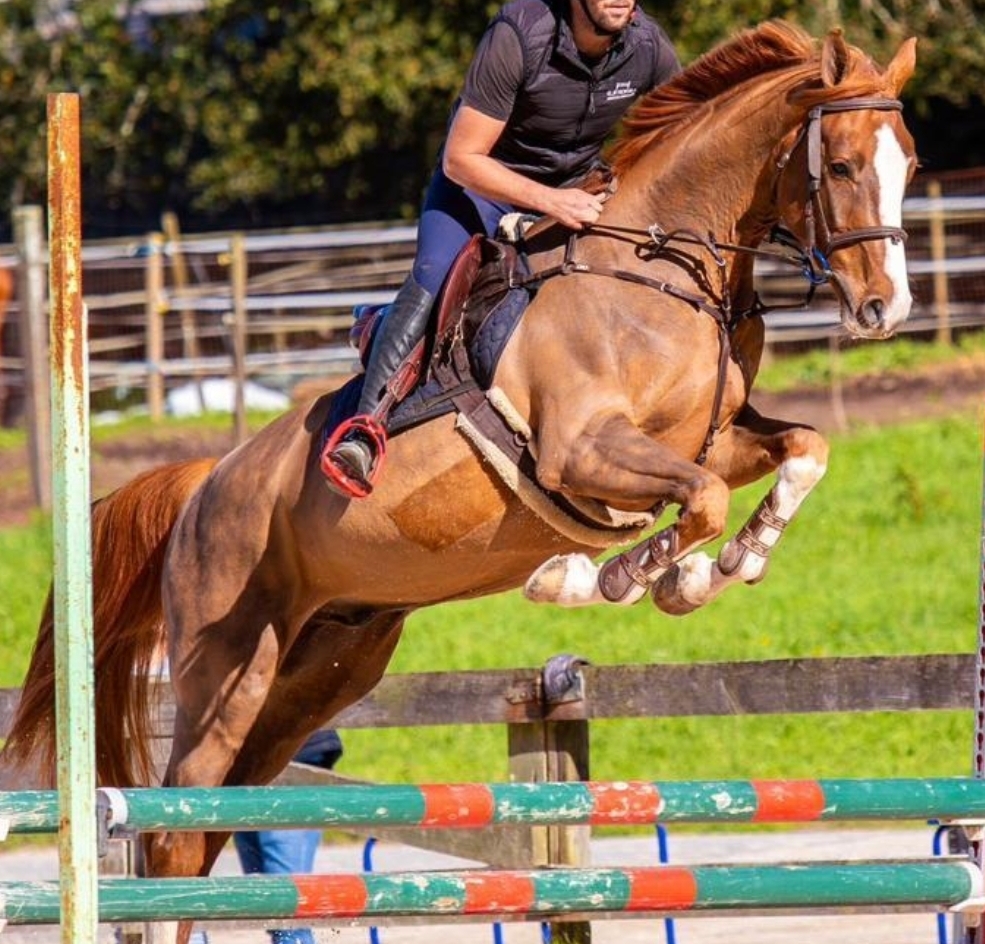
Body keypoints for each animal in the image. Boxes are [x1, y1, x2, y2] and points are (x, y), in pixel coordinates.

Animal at [1, 21, 916, 943]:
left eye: (906, 164)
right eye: (841, 166)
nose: (885, 310)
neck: (659, 270)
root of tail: (202, 483)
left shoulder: (716, 439)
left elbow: (798, 451)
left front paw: (726, 565)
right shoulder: (579, 451)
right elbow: (697, 501)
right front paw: (609, 575)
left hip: (318, 675)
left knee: (212, 825)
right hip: (227, 671)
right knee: (174, 833)